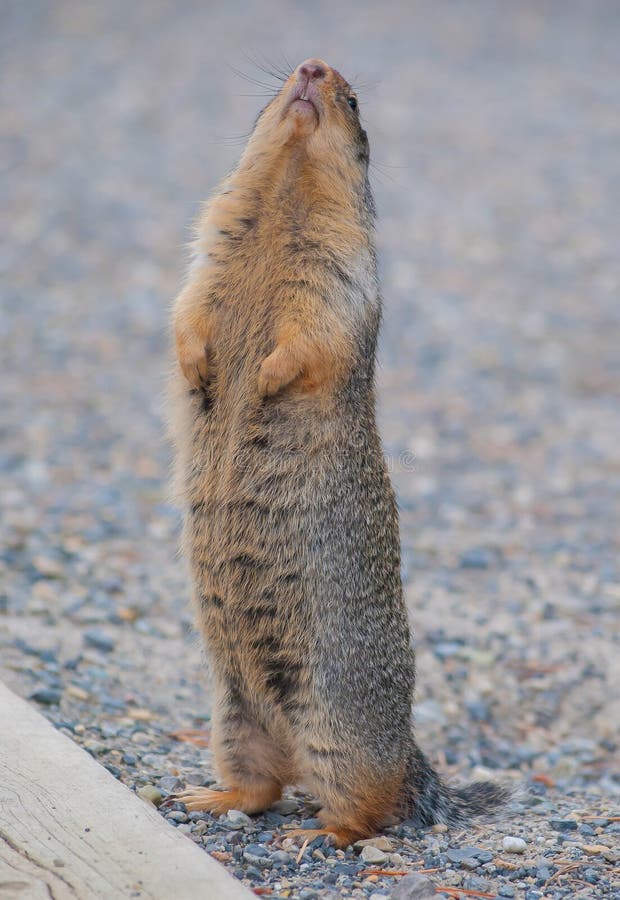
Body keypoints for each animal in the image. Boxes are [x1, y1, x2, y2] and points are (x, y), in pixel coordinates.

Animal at [168, 58, 508, 848]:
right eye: (284, 79)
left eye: (352, 101)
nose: (314, 66)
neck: (284, 196)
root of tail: (414, 758)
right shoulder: (206, 248)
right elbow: (187, 310)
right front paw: (201, 367)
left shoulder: (342, 277)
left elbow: (311, 335)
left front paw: (263, 381)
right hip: (231, 717)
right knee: (263, 787)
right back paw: (209, 798)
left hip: (336, 725)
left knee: (367, 810)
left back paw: (319, 834)